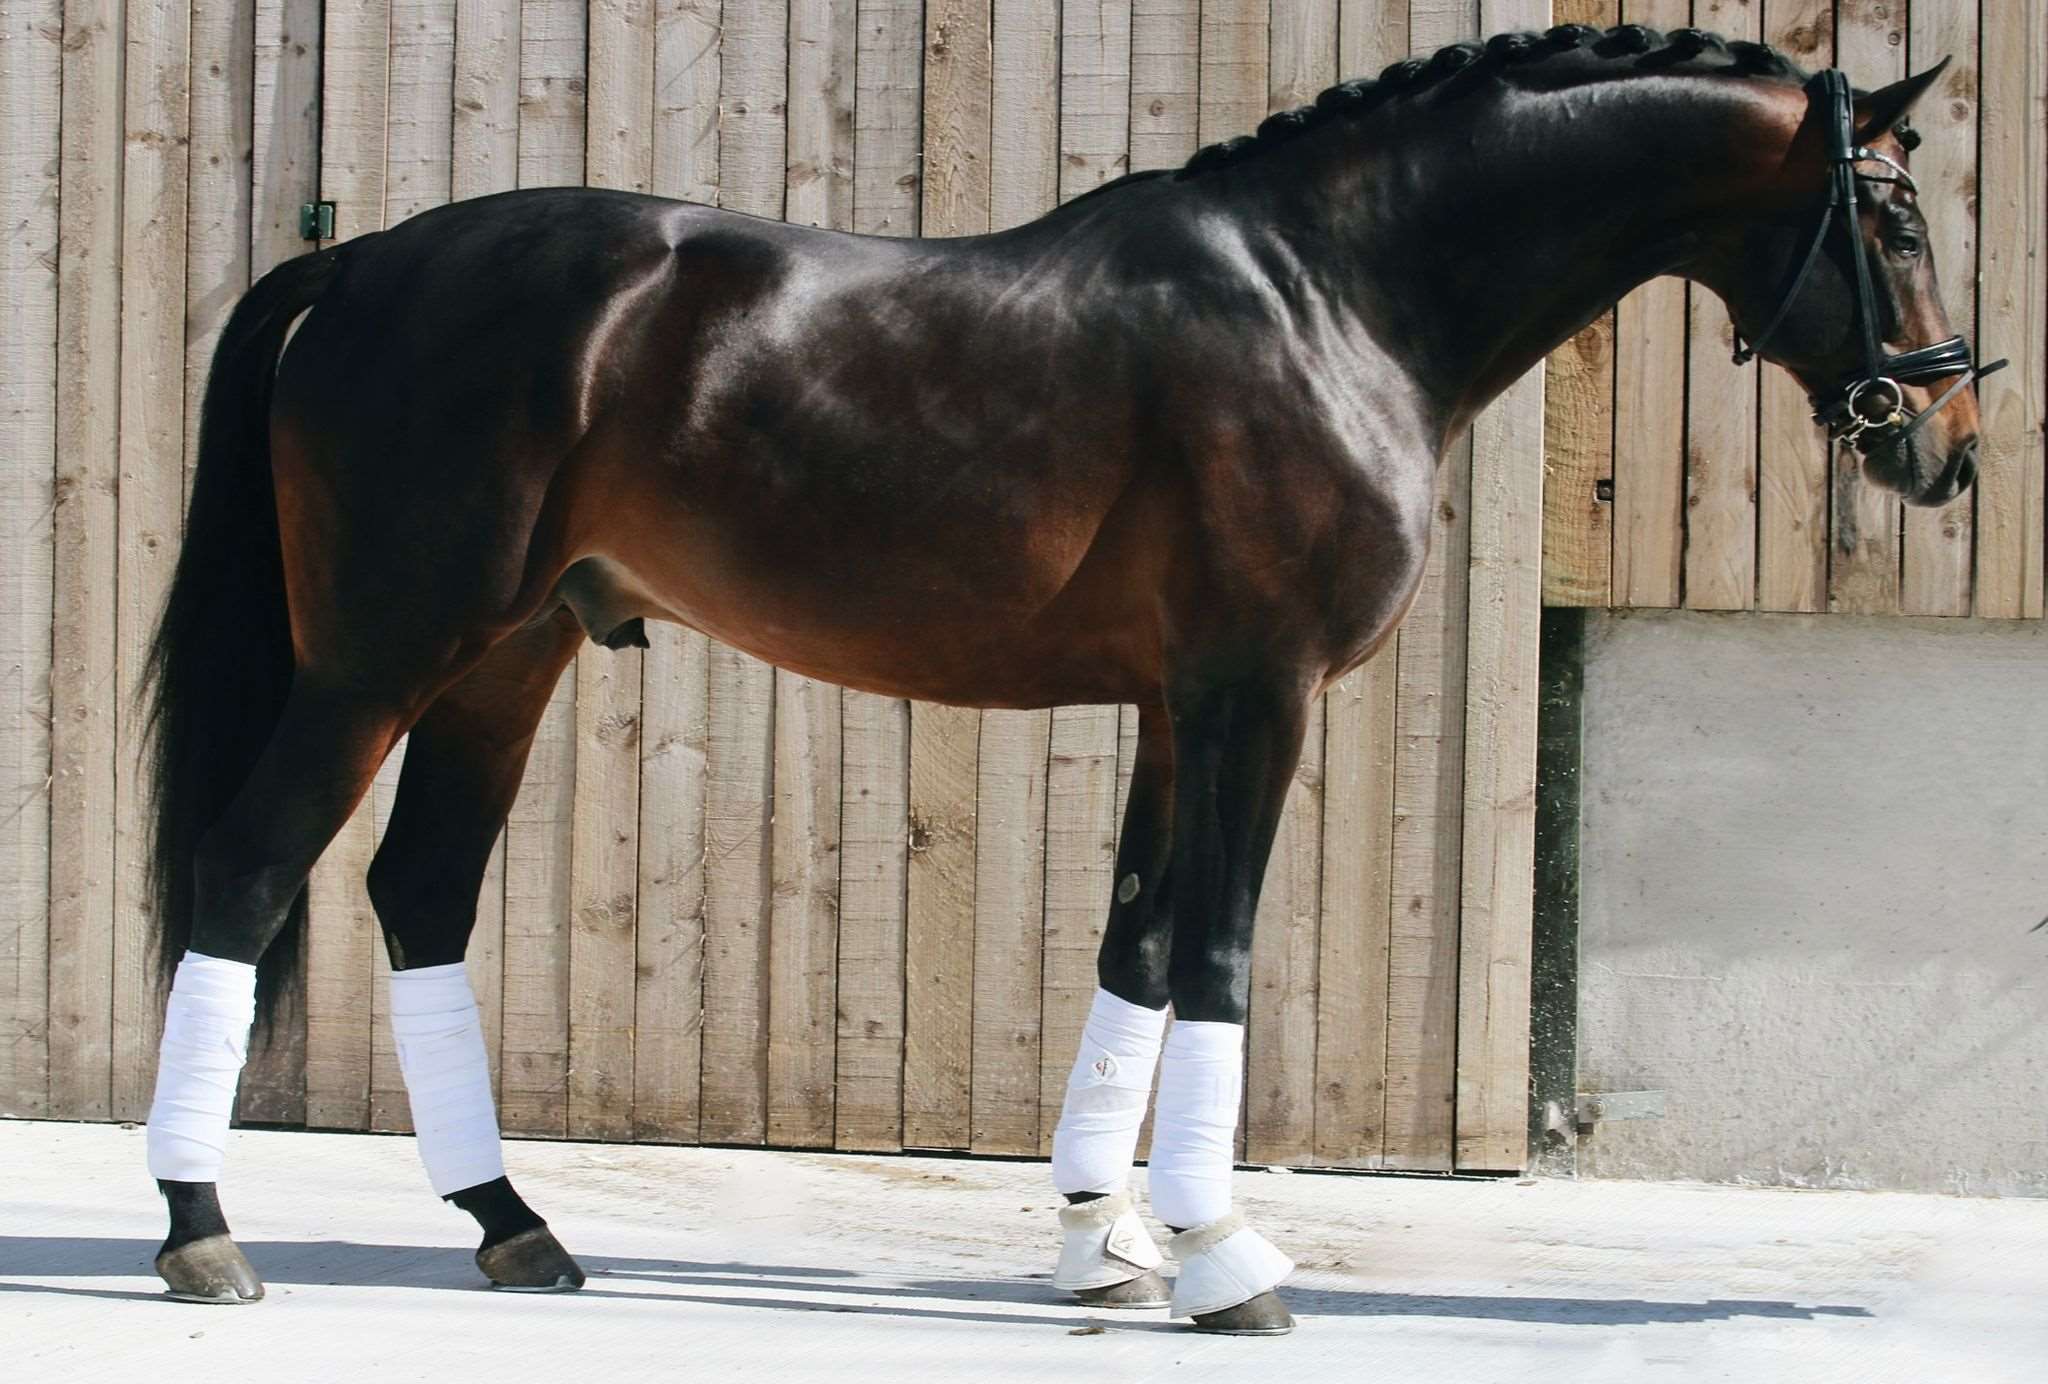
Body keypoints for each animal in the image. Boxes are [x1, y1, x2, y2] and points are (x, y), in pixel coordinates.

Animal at [138, 24, 1993, 1336]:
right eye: (1893, 209)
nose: (1947, 445)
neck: (1331, 298)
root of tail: (359, 258)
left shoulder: (1175, 703)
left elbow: (1138, 951)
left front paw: (1103, 1244)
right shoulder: (1258, 691)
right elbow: (1221, 954)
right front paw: (1223, 1254)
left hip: (504, 658)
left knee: (419, 894)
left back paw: (515, 1225)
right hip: (383, 653)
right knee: (247, 868)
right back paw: (204, 1230)